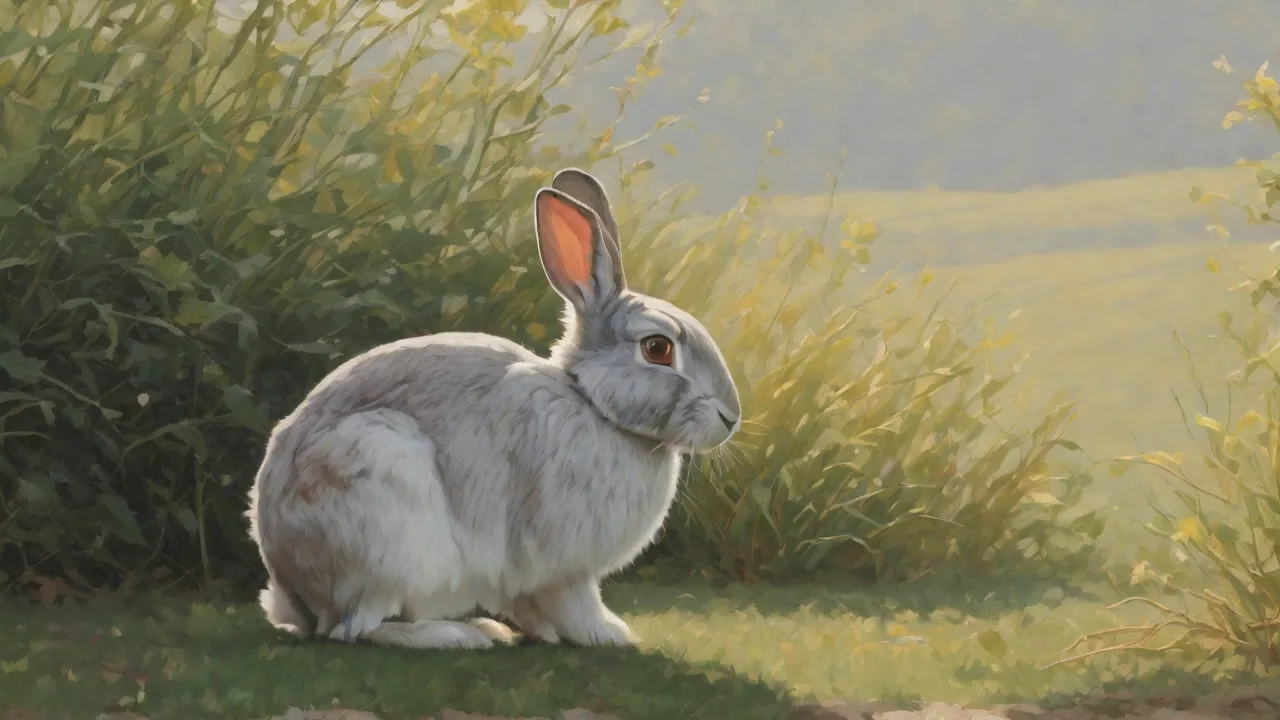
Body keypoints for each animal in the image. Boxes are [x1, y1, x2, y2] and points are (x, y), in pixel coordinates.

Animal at [245, 168, 742, 650]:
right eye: (658, 348)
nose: (731, 418)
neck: (593, 405)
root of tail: (295, 596)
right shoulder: (559, 565)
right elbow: (574, 602)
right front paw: (609, 635)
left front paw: (548, 633)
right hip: (381, 508)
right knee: (357, 628)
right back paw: (456, 636)